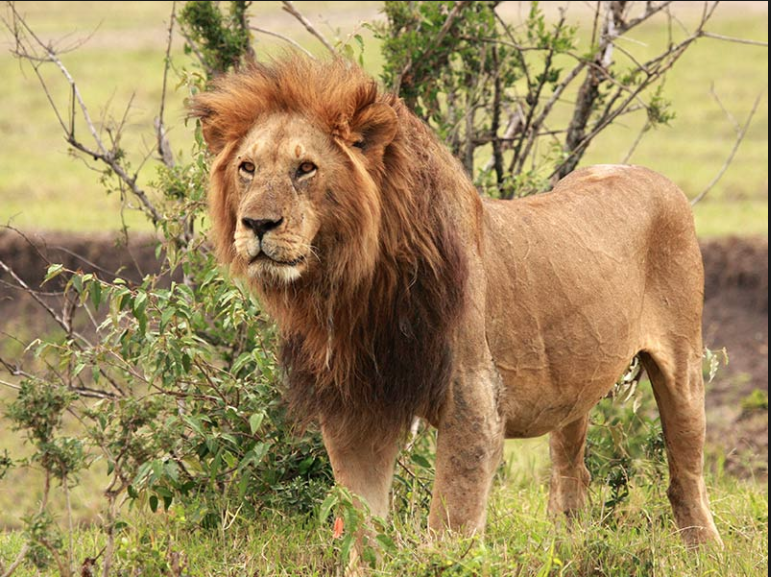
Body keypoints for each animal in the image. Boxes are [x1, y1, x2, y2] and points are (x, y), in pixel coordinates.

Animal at [191, 56, 721, 548]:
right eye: (247, 168)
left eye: (305, 169)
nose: (257, 224)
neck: (354, 284)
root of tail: (651, 175)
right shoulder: (356, 405)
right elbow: (361, 519)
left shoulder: (472, 399)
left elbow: (450, 522)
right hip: (576, 378)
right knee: (571, 469)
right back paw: (567, 543)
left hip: (682, 364)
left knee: (686, 473)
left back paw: (704, 549)